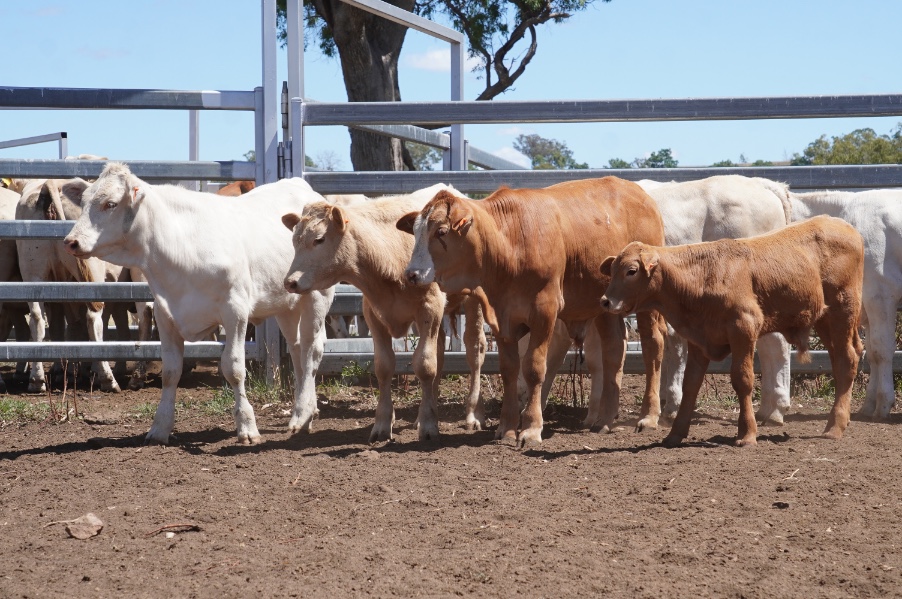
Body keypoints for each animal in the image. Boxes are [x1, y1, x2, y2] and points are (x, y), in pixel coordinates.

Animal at [63, 163, 335, 445]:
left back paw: (302, 413)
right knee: (297, 349)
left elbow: (234, 368)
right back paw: (305, 414)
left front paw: (247, 426)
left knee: (312, 351)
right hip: (286, 305)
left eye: (111, 203)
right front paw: (160, 428)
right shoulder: (165, 313)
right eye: (83, 202)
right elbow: (170, 372)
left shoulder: (235, 311)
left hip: (317, 296)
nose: (71, 241)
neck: (179, 249)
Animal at [282, 184, 487, 441]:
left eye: (319, 239)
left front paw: (429, 427)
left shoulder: (429, 308)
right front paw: (382, 424)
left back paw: (473, 414)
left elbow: (424, 365)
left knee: (475, 350)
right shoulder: (374, 314)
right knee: (440, 352)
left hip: (472, 303)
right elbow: (384, 366)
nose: (290, 282)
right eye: (294, 240)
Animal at [401, 178, 667, 446]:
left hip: (646, 304)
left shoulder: (544, 312)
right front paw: (507, 428)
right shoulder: (501, 318)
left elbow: (534, 368)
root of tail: (641, 195)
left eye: (441, 232)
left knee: (653, 347)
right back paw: (604, 419)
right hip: (605, 306)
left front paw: (531, 428)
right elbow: (509, 369)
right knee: (614, 350)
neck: (509, 241)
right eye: (416, 232)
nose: (411, 274)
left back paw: (649, 416)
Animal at [600, 215, 864, 447]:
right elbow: (691, 384)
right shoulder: (699, 338)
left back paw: (834, 427)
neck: (704, 275)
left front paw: (747, 434)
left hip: (842, 311)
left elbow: (742, 379)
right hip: (825, 320)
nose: (605, 301)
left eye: (631, 271)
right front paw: (675, 434)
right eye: (611, 271)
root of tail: (846, 227)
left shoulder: (744, 328)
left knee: (847, 360)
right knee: (840, 362)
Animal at [790, 189, 902, 421]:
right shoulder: (865, 302)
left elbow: (882, 349)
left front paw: (883, 404)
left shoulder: (881, 293)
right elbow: (871, 351)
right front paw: (868, 406)